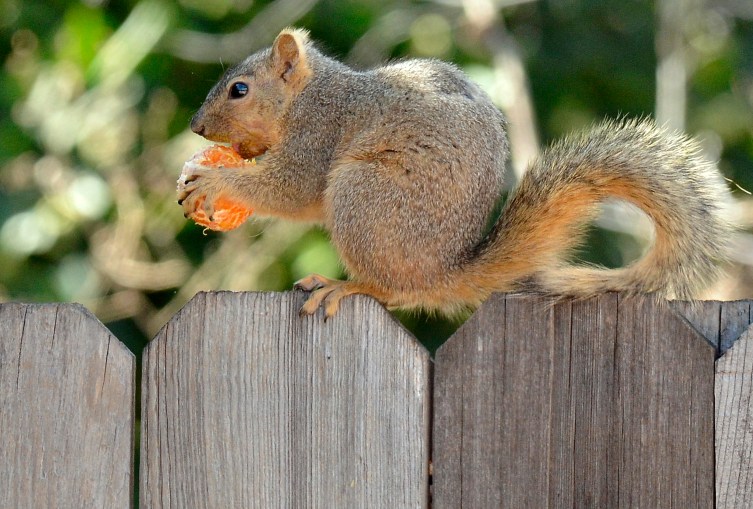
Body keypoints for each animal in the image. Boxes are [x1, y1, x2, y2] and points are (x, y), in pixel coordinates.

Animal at [179, 27, 733, 318]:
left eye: (240, 90)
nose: (196, 127)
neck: (311, 95)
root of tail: (441, 271)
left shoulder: (320, 134)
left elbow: (293, 190)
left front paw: (215, 181)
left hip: (363, 196)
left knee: (395, 291)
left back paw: (349, 286)